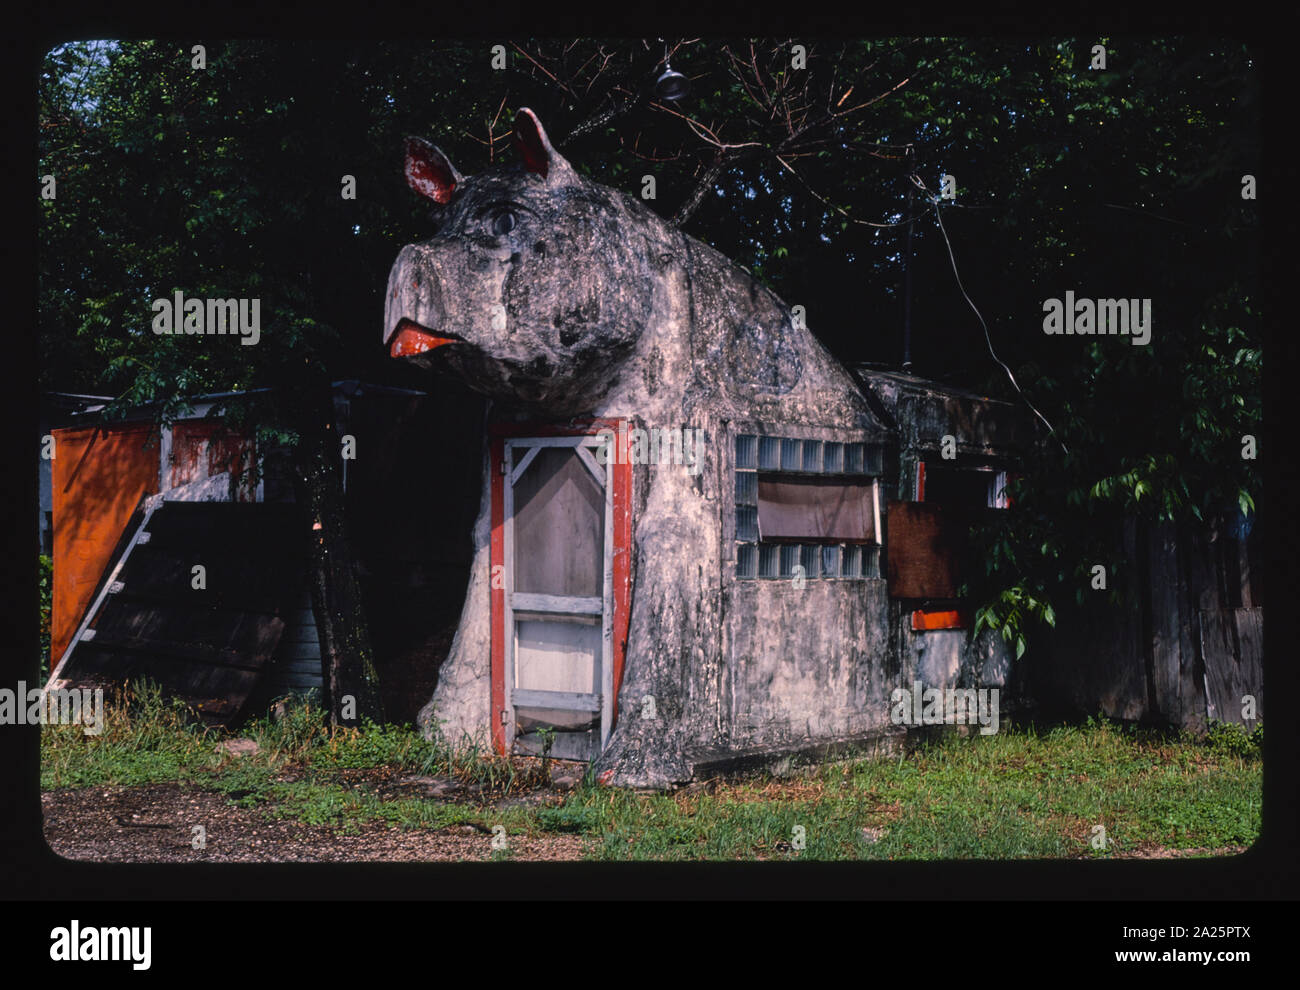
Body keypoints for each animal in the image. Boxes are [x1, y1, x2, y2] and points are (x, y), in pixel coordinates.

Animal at [385, 109, 890, 789]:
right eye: (439, 226)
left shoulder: (684, 425)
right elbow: (481, 546)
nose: (408, 258)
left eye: (505, 220)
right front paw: (445, 741)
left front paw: (632, 776)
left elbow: (673, 540)